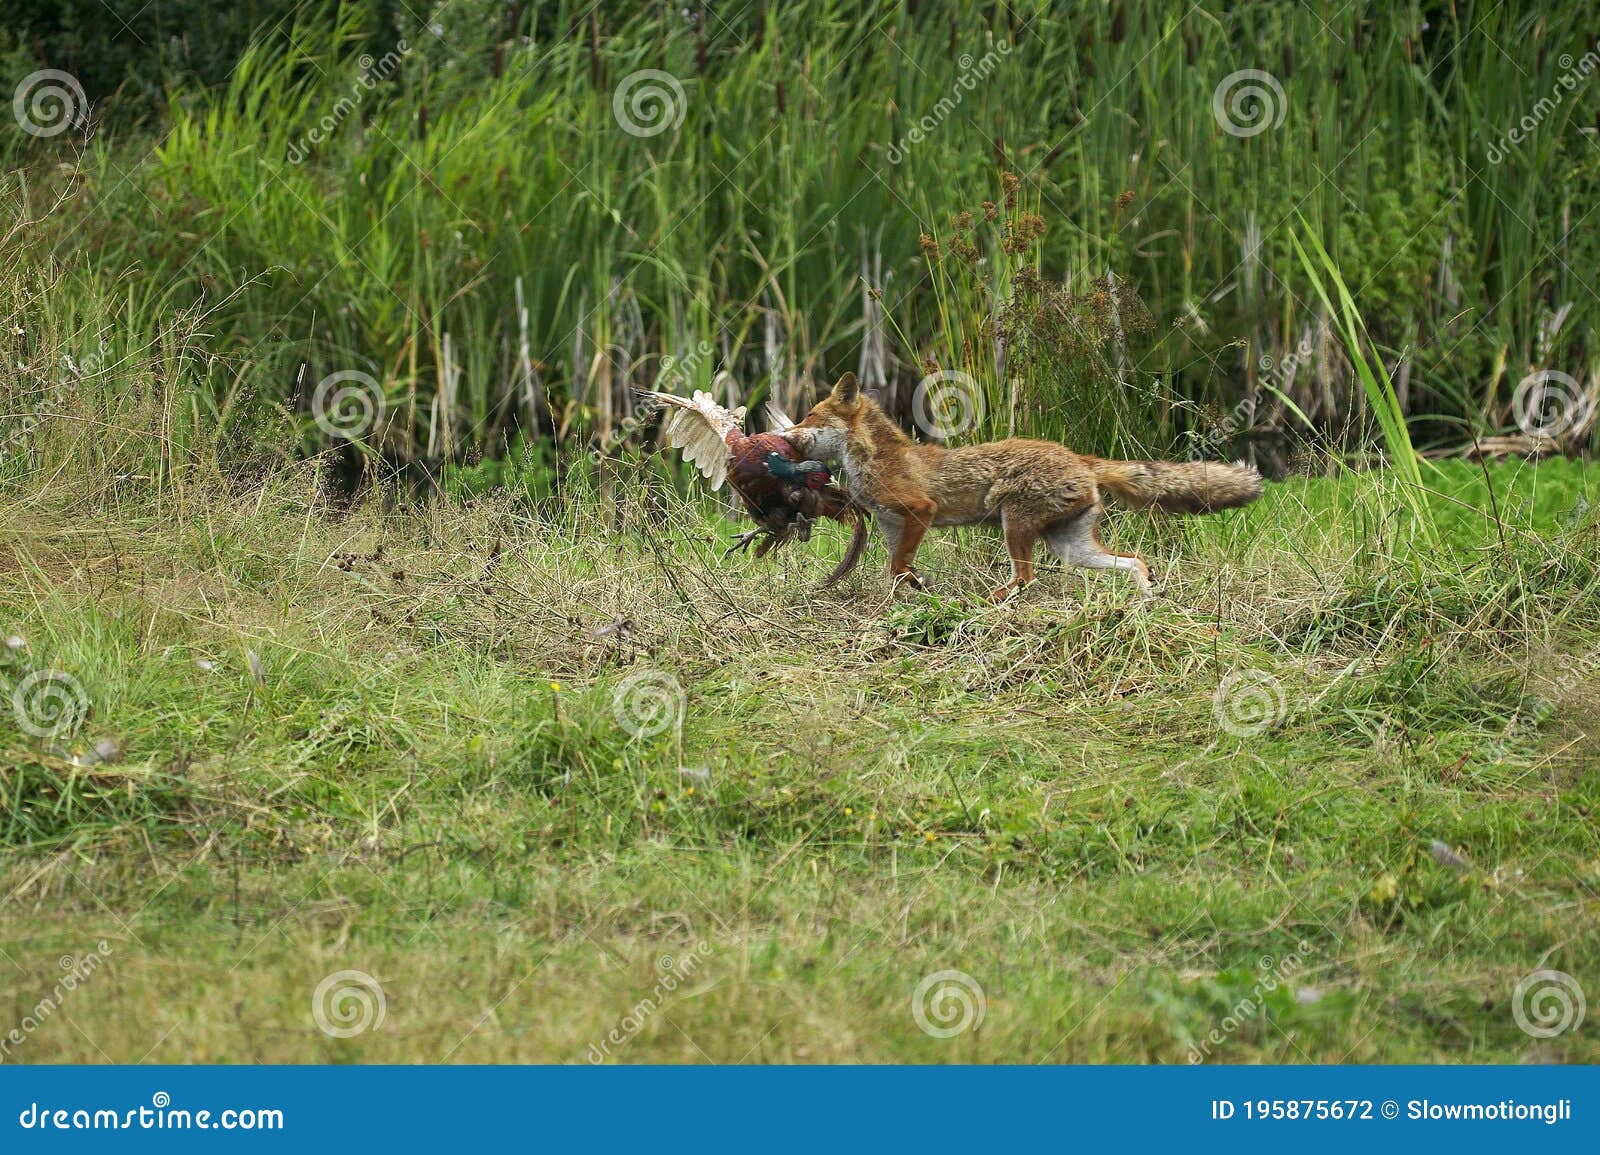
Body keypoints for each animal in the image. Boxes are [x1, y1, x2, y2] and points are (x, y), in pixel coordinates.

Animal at [780, 372, 1263, 600]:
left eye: (809, 417)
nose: (786, 435)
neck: (876, 459)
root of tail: (1078, 457)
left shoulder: (921, 511)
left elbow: (899, 568)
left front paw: (915, 591)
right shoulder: (892, 526)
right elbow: (895, 571)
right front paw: (907, 596)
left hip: (1017, 526)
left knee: (1026, 578)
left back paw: (989, 602)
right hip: (1070, 548)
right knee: (1135, 561)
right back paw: (1145, 600)